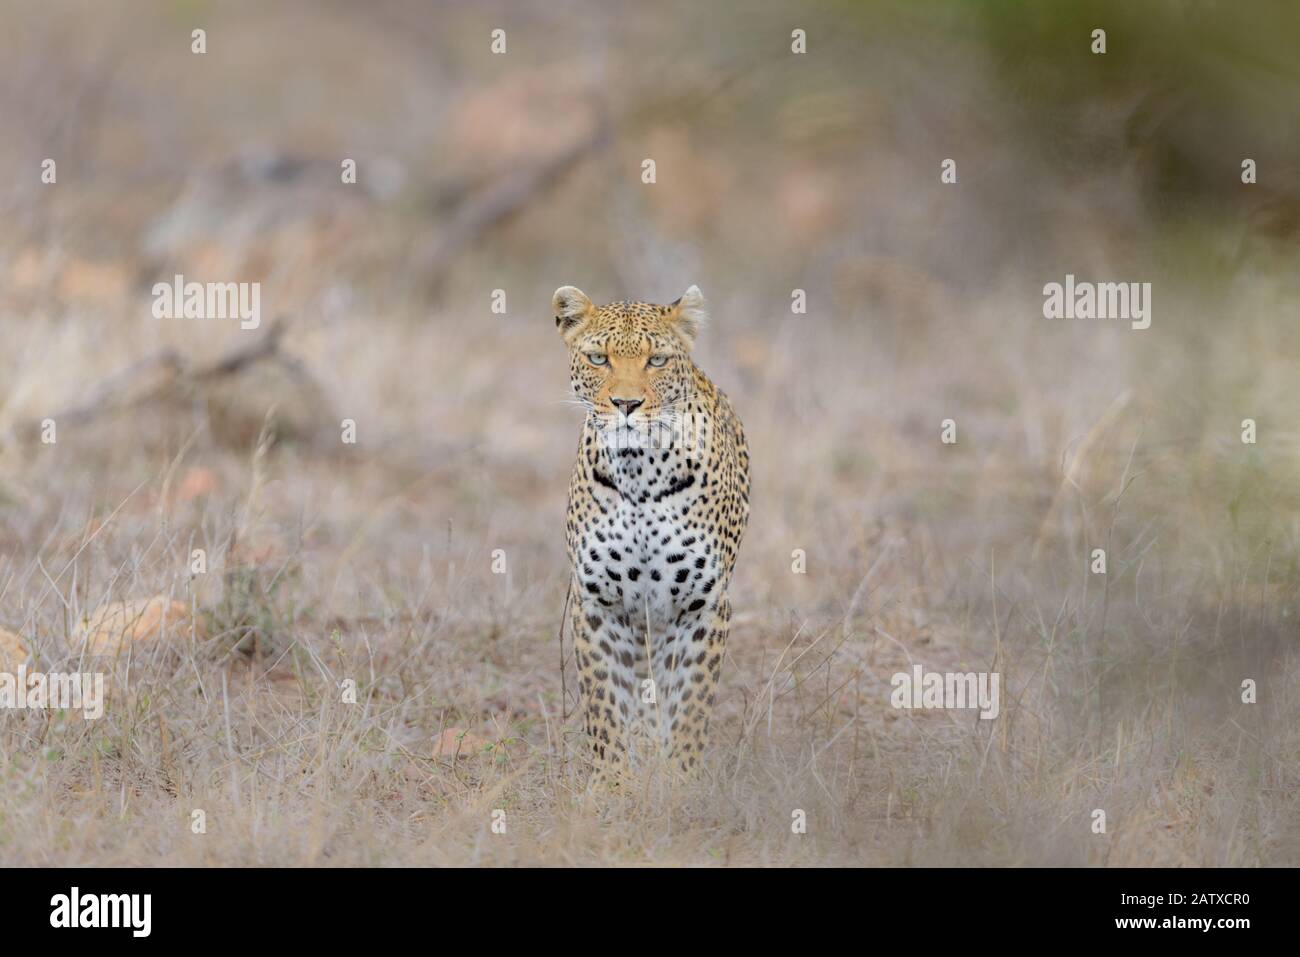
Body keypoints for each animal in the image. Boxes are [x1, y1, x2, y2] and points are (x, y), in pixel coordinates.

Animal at [553, 283, 750, 785]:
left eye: (657, 361)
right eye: (598, 358)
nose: (626, 406)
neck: (640, 470)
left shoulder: (702, 605)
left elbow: (691, 703)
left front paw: (680, 779)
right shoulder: (598, 603)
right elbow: (605, 703)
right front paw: (612, 784)